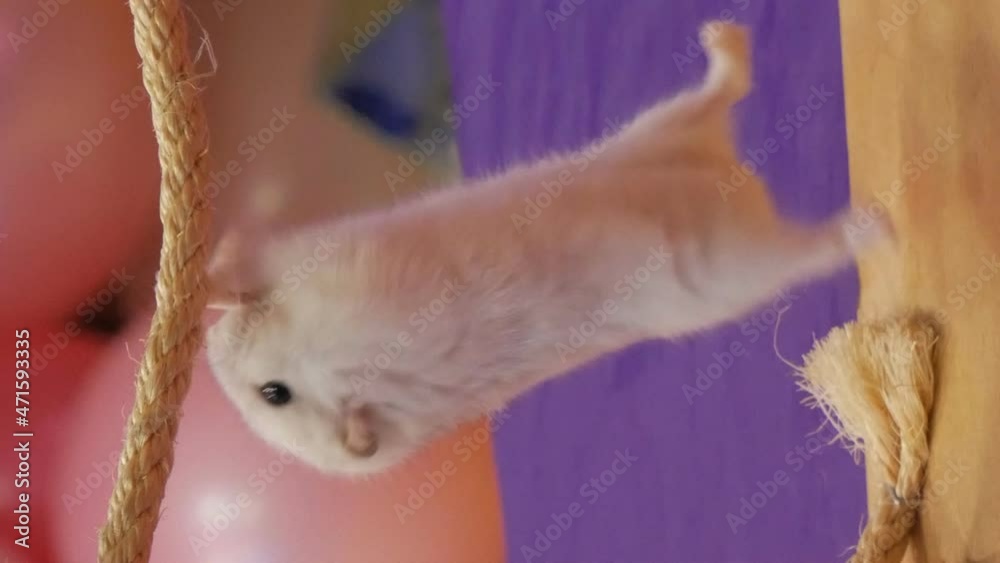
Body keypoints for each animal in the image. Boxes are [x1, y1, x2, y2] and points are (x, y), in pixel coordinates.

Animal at [204, 22, 891, 477]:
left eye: (272, 394)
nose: (210, 355)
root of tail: (733, 177)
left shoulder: (320, 261)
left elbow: (245, 258)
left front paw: (212, 279)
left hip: (695, 200)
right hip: (691, 187)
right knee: (738, 116)